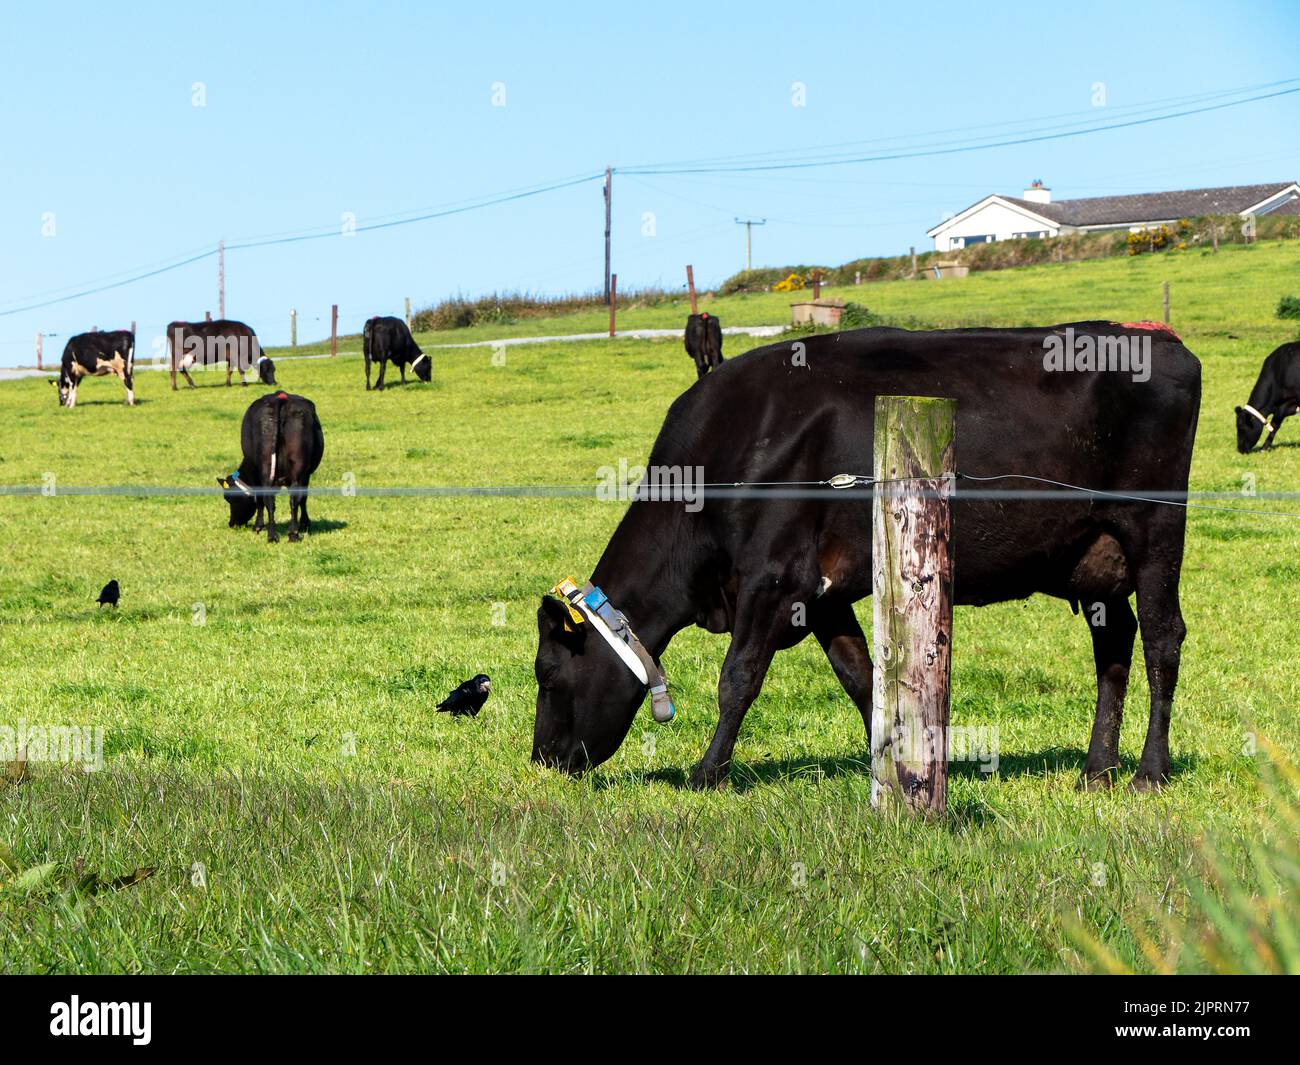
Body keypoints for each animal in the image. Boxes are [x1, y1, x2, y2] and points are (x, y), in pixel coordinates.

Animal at [218, 392, 324, 543]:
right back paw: (290, 534)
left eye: (228, 498)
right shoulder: (306, 474)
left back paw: (274, 535)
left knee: (274, 499)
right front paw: (304, 524)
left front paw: (258, 526)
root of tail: (280, 399)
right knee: (292, 499)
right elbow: (303, 499)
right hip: (295, 468)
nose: (232, 524)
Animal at [533, 322, 1200, 793]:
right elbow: (863, 679)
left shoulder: (773, 578)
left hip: (1155, 526)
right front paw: (897, 764)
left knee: (1162, 639)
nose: (542, 761)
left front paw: (707, 771)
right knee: (1114, 647)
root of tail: (1162, 342)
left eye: (547, 674)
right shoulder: (820, 596)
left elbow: (738, 678)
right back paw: (1096, 769)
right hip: (1095, 557)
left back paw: (1149, 772)